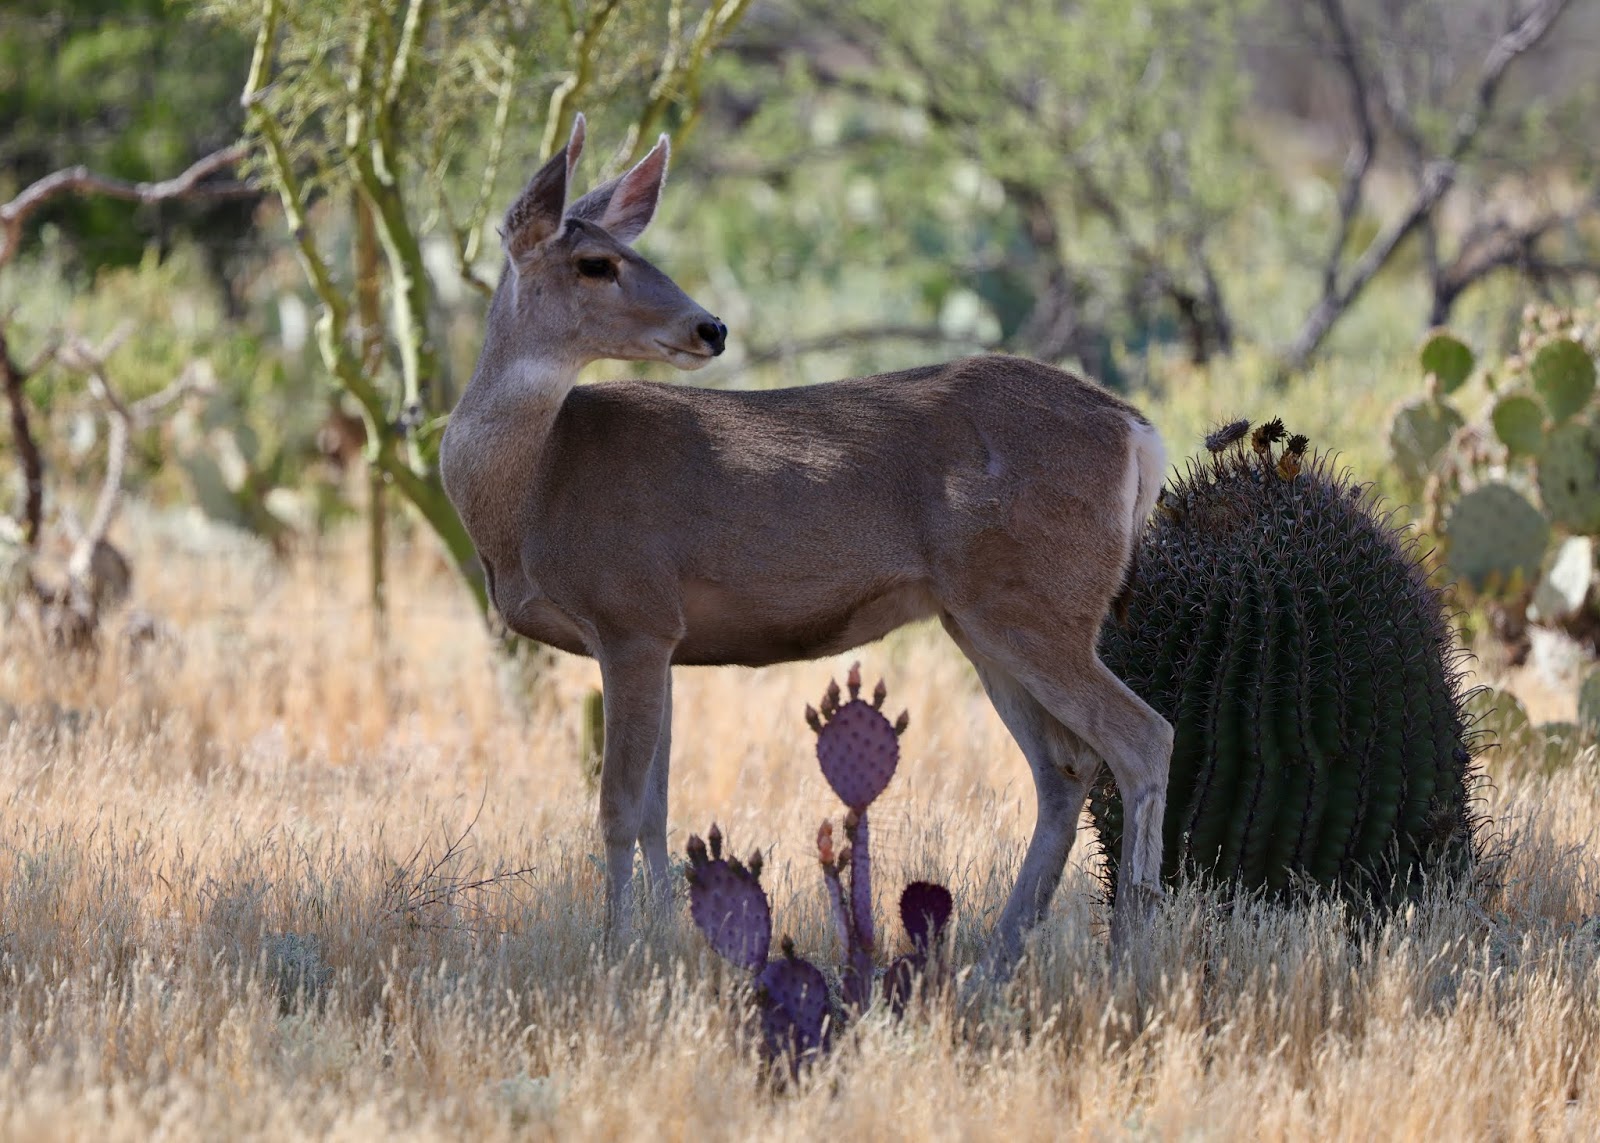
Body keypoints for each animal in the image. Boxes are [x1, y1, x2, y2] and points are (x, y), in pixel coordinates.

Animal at [439, 114, 1174, 969]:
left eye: (629, 254)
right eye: (597, 262)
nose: (711, 326)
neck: (532, 491)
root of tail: (1137, 431)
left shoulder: (631, 612)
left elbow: (617, 806)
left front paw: (618, 950)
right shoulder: (662, 636)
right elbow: (656, 805)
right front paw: (669, 941)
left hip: (1036, 603)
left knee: (1143, 737)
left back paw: (1132, 946)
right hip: (983, 618)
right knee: (1066, 766)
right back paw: (993, 956)